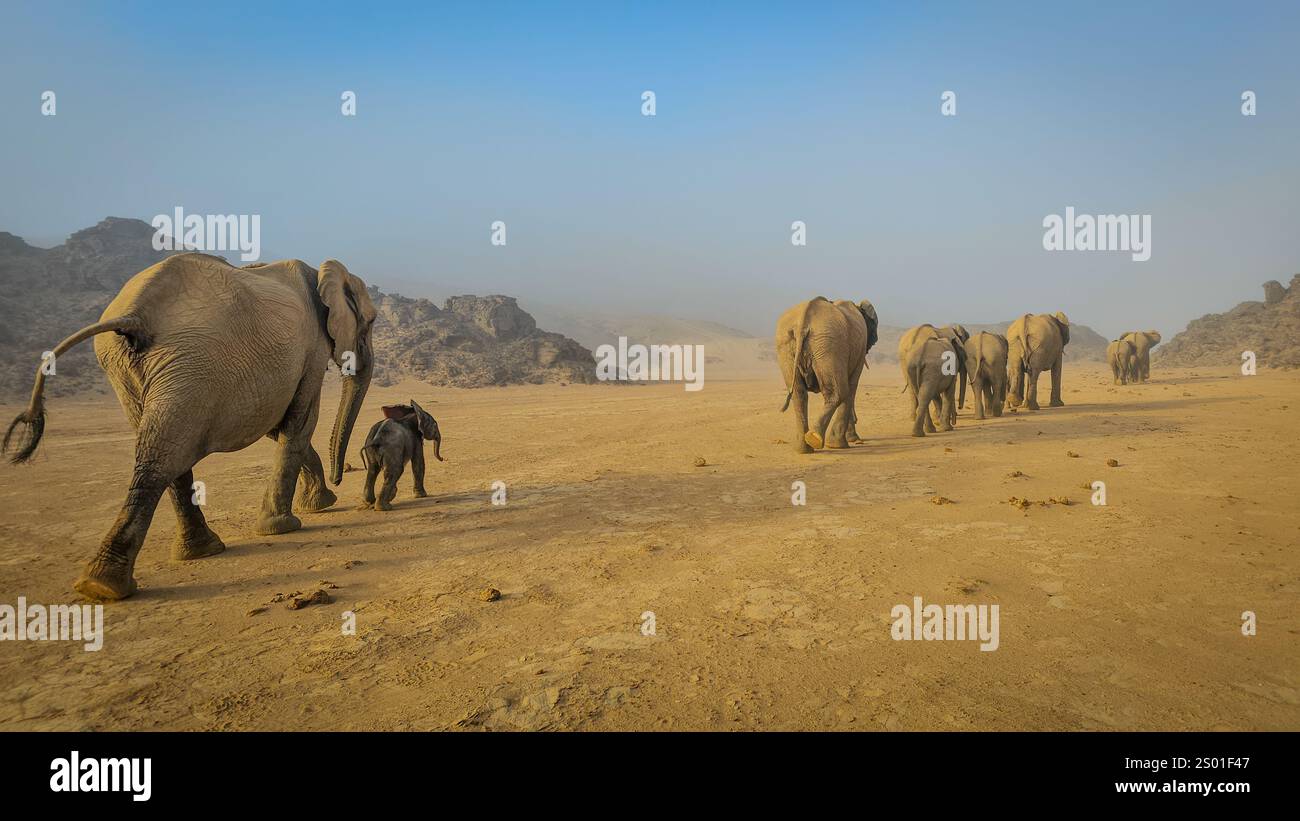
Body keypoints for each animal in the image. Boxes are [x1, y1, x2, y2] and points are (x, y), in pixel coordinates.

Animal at [3, 253, 377, 601]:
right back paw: (111, 584)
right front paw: (288, 524)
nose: (339, 478)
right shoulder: (312, 349)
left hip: (135, 368)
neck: (322, 273)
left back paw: (137, 573)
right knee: (164, 455)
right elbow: (299, 421)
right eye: (371, 322)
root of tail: (136, 314)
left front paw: (319, 505)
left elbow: (279, 425)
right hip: (187, 363)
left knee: (160, 451)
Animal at [776, 296, 880, 453]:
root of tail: (802, 323)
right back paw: (816, 440)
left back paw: (804, 449)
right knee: (839, 392)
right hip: (829, 346)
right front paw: (849, 441)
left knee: (799, 395)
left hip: (791, 346)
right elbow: (852, 388)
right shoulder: (860, 350)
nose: (858, 441)